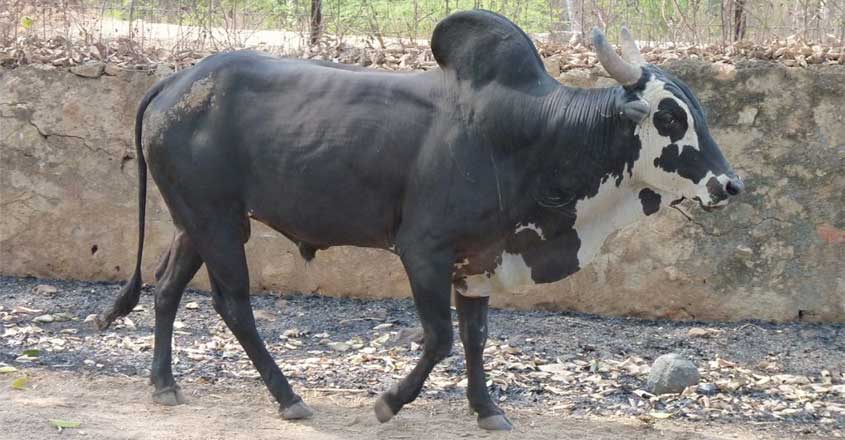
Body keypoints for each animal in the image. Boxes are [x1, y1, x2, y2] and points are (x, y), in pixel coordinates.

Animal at [98, 10, 743, 431]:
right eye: (669, 117)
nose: (730, 185)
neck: (535, 134)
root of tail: (177, 79)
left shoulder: (478, 259)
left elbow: (476, 337)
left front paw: (488, 410)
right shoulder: (423, 250)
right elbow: (440, 338)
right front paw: (389, 401)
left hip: (197, 222)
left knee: (166, 287)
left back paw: (164, 385)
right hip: (220, 223)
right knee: (233, 305)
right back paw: (288, 397)